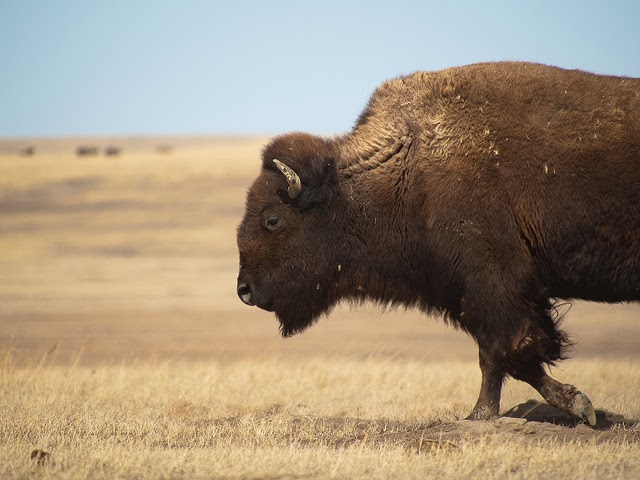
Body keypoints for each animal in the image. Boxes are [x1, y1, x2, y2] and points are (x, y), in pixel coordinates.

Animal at [236, 62, 640, 425]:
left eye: (272, 220)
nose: (244, 290)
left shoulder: (493, 287)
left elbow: (507, 352)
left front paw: (564, 407)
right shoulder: (474, 296)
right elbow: (503, 357)